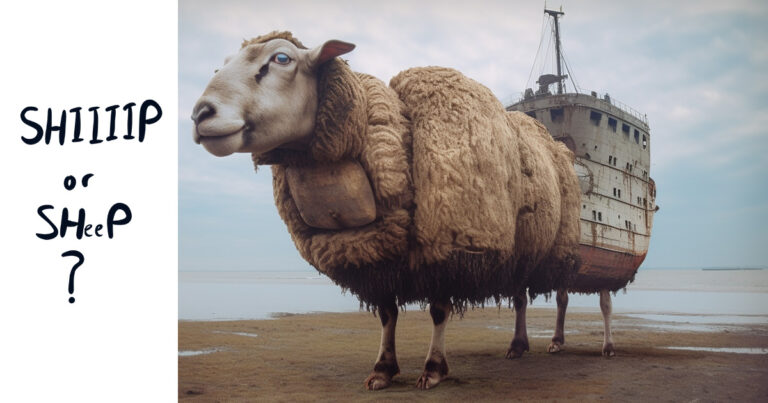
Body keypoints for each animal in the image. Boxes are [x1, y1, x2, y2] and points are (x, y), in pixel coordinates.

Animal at [191, 31, 581, 390]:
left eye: (282, 58)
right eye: (221, 64)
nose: (199, 114)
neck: (398, 143)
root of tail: (558, 147)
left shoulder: (445, 248)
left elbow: (437, 311)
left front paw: (433, 369)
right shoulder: (372, 256)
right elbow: (386, 313)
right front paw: (382, 370)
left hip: (563, 249)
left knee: (559, 296)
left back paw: (553, 342)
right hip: (524, 252)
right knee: (520, 297)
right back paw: (518, 346)